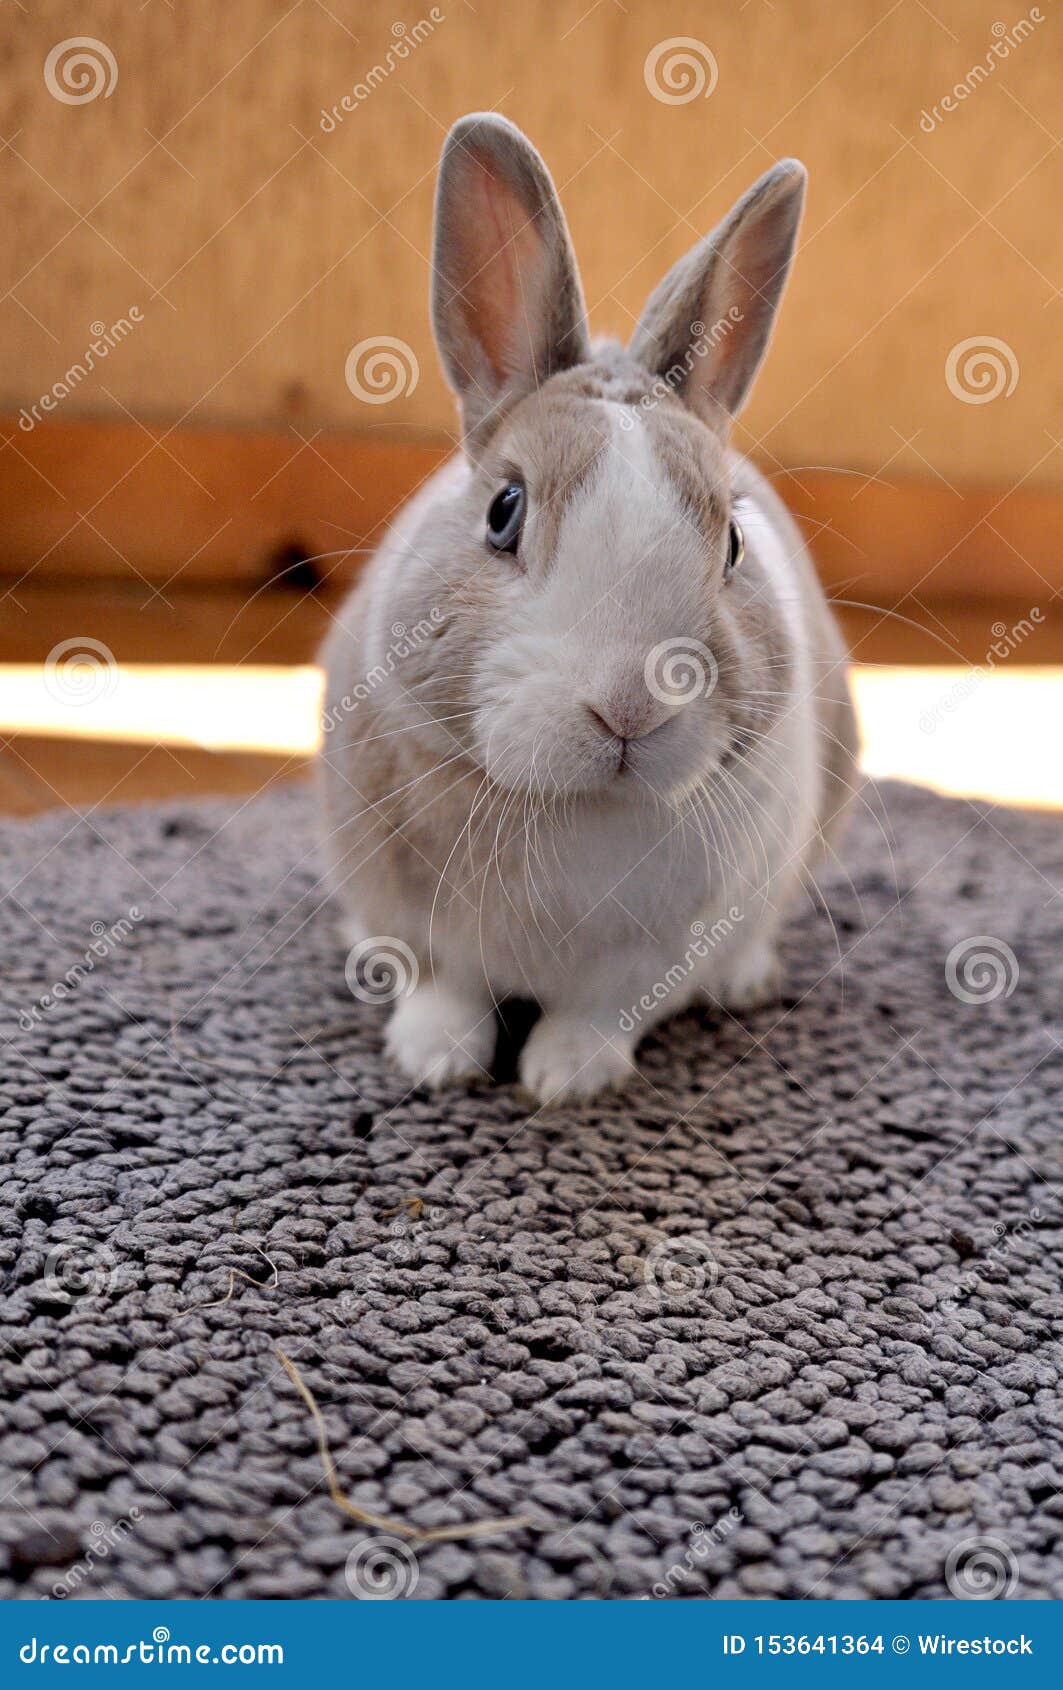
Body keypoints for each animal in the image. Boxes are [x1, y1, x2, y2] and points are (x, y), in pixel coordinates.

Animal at [319, 112, 858, 1106]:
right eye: (503, 511)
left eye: (732, 541)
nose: (629, 706)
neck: (572, 806)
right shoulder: (407, 906)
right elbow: (444, 985)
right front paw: (432, 1061)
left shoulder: (658, 955)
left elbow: (605, 1010)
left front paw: (567, 1081)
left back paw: (747, 981)